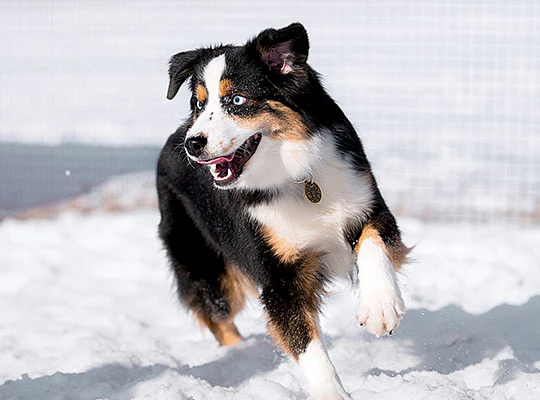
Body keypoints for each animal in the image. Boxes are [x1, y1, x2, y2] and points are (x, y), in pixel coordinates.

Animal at [156, 22, 410, 400]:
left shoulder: (369, 206)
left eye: (237, 100)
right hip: (208, 271)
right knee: (220, 317)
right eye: (198, 103)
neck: (295, 175)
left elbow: (373, 242)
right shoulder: (278, 277)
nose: (193, 144)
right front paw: (332, 394)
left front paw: (379, 306)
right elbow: (307, 345)